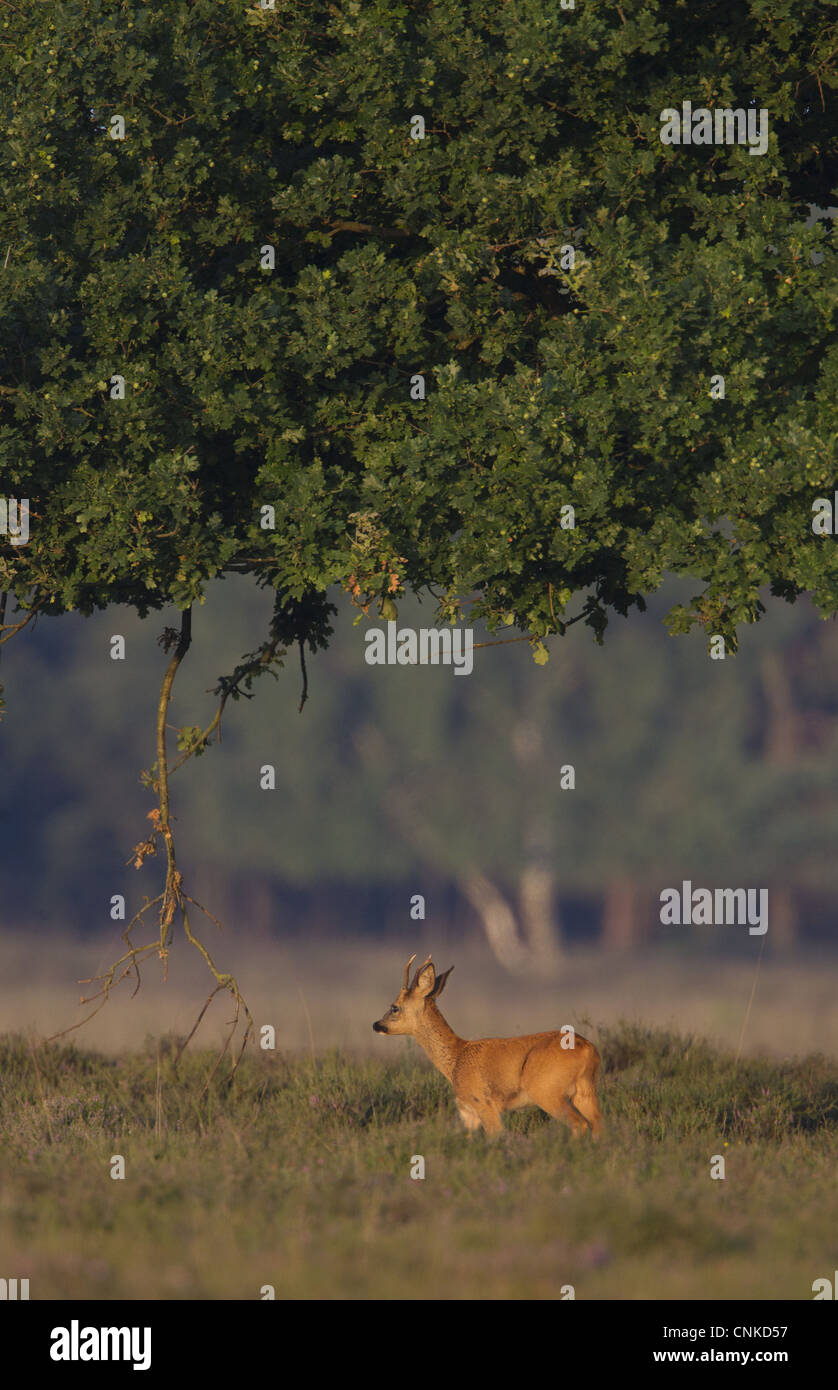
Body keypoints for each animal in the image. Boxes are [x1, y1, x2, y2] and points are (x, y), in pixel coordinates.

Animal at [373, 953, 602, 1139]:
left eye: (394, 1007)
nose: (376, 1024)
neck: (457, 1058)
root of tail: (588, 1049)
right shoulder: (468, 1113)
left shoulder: (483, 1103)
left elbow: (496, 1137)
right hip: (584, 1091)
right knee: (599, 1124)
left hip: (546, 1090)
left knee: (580, 1124)